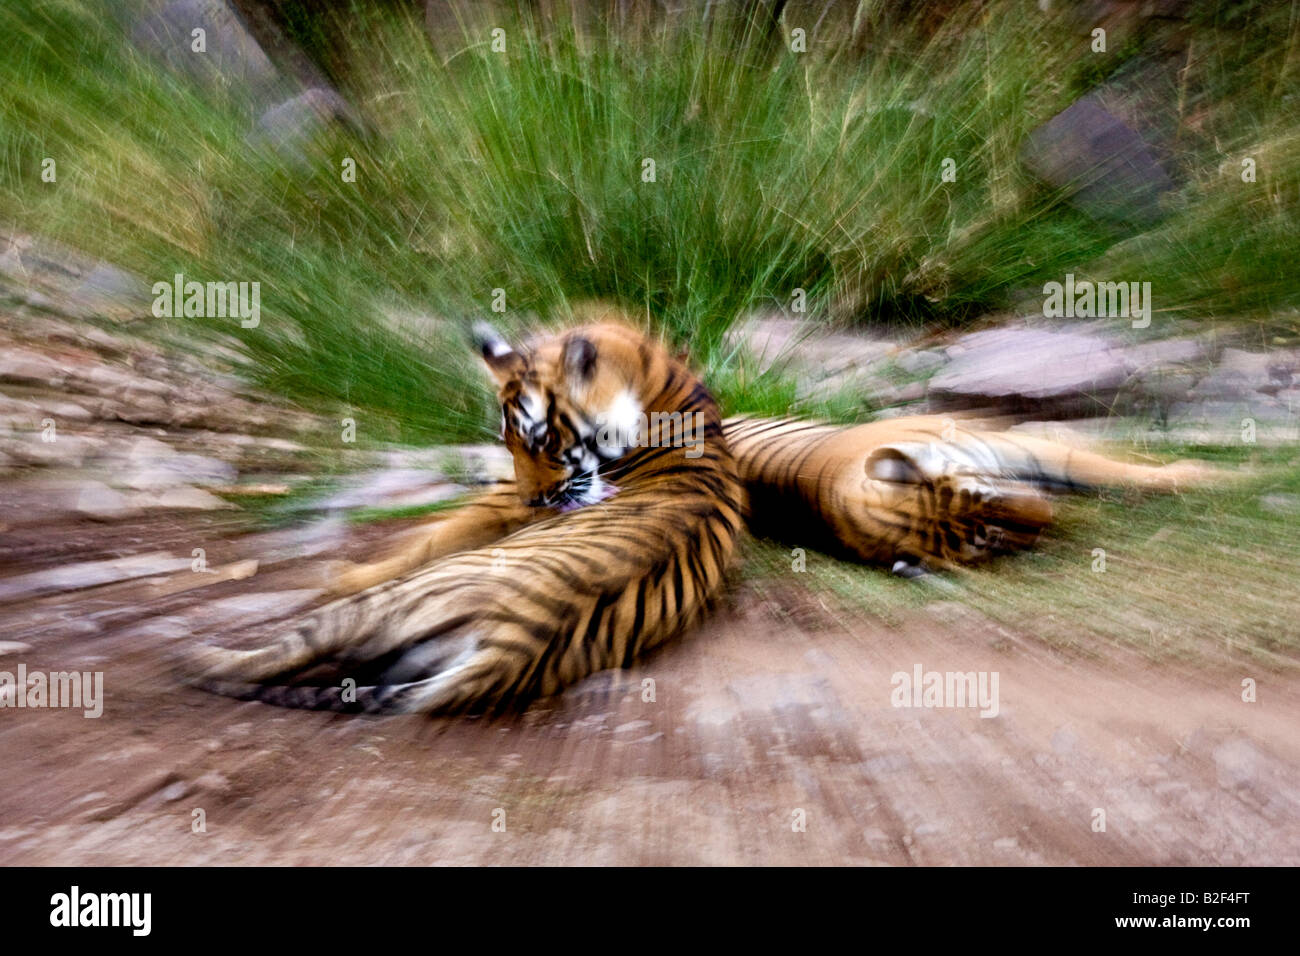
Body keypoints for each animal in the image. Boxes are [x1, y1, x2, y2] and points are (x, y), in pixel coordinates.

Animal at [177, 315, 746, 714]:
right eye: (508, 440)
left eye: (544, 440)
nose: (534, 502)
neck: (663, 380)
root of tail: (510, 648)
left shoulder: (499, 504)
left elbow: (427, 537)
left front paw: (344, 571)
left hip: (383, 605)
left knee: (282, 649)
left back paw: (195, 658)